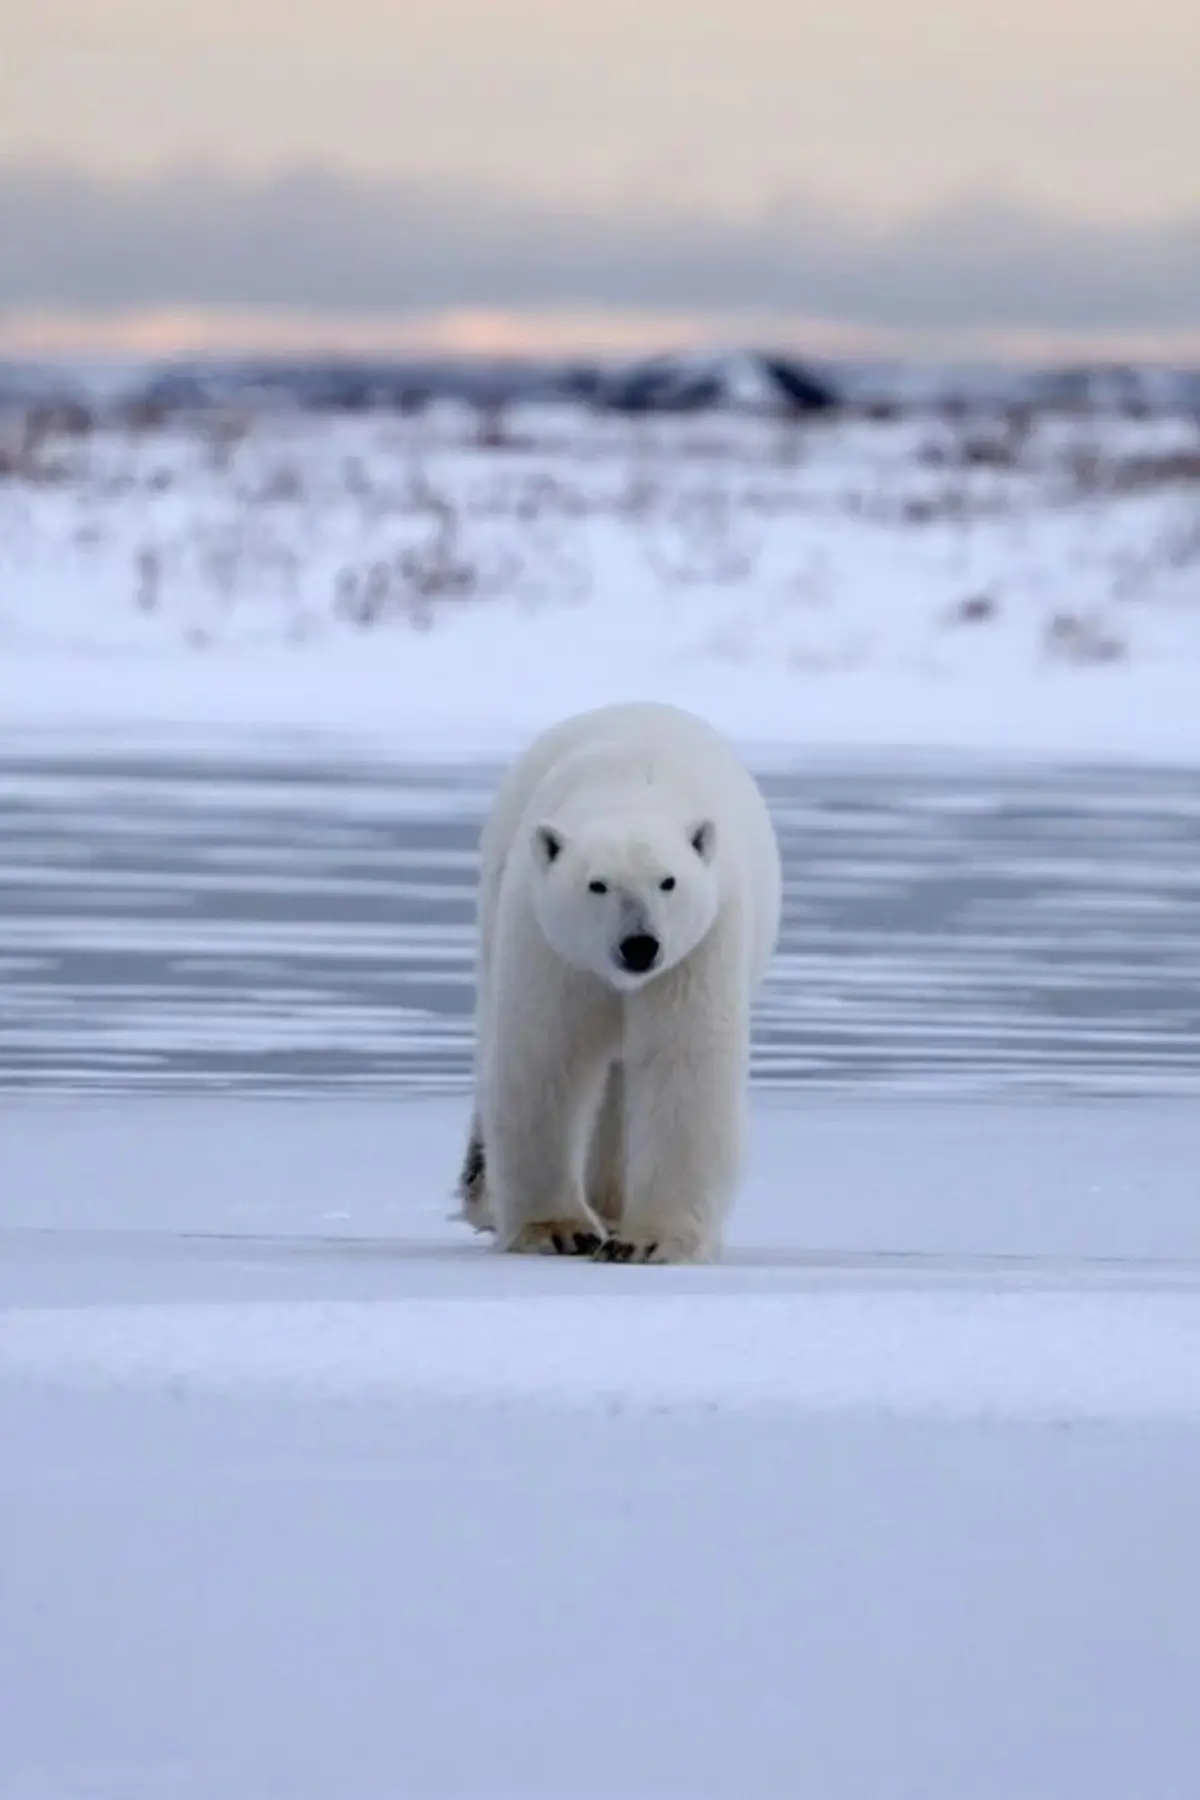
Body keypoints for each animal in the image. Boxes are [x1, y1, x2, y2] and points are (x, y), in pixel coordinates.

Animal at [454, 701, 782, 1264]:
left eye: (668, 881)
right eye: (598, 885)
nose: (640, 945)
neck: (632, 785)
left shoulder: (698, 949)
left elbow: (683, 1066)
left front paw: (651, 1240)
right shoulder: (551, 943)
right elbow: (547, 1059)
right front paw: (557, 1229)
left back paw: (610, 1209)